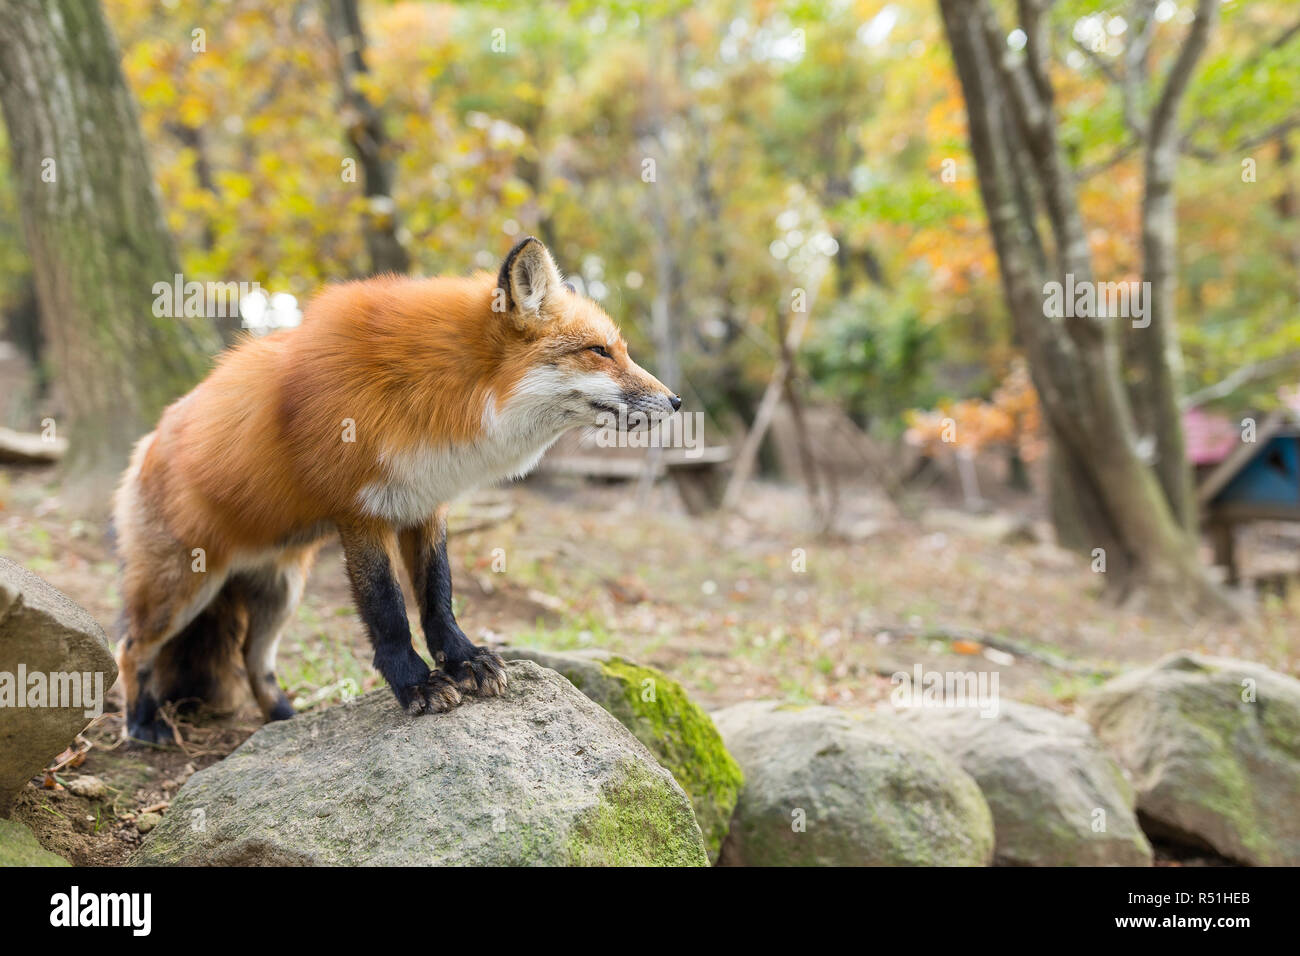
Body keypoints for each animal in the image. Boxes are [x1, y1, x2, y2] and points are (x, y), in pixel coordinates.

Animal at [113, 237, 679, 743]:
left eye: (620, 350)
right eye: (599, 351)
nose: (675, 402)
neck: (431, 391)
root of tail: (145, 446)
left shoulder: (425, 502)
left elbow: (437, 596)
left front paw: (465, 660)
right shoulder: (361, 514)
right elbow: (386, 610)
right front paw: (415, 685)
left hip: (281, 593)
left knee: (254, 660)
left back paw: (283, 717)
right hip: (182, 589)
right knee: (132, 648)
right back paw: (142, 723)